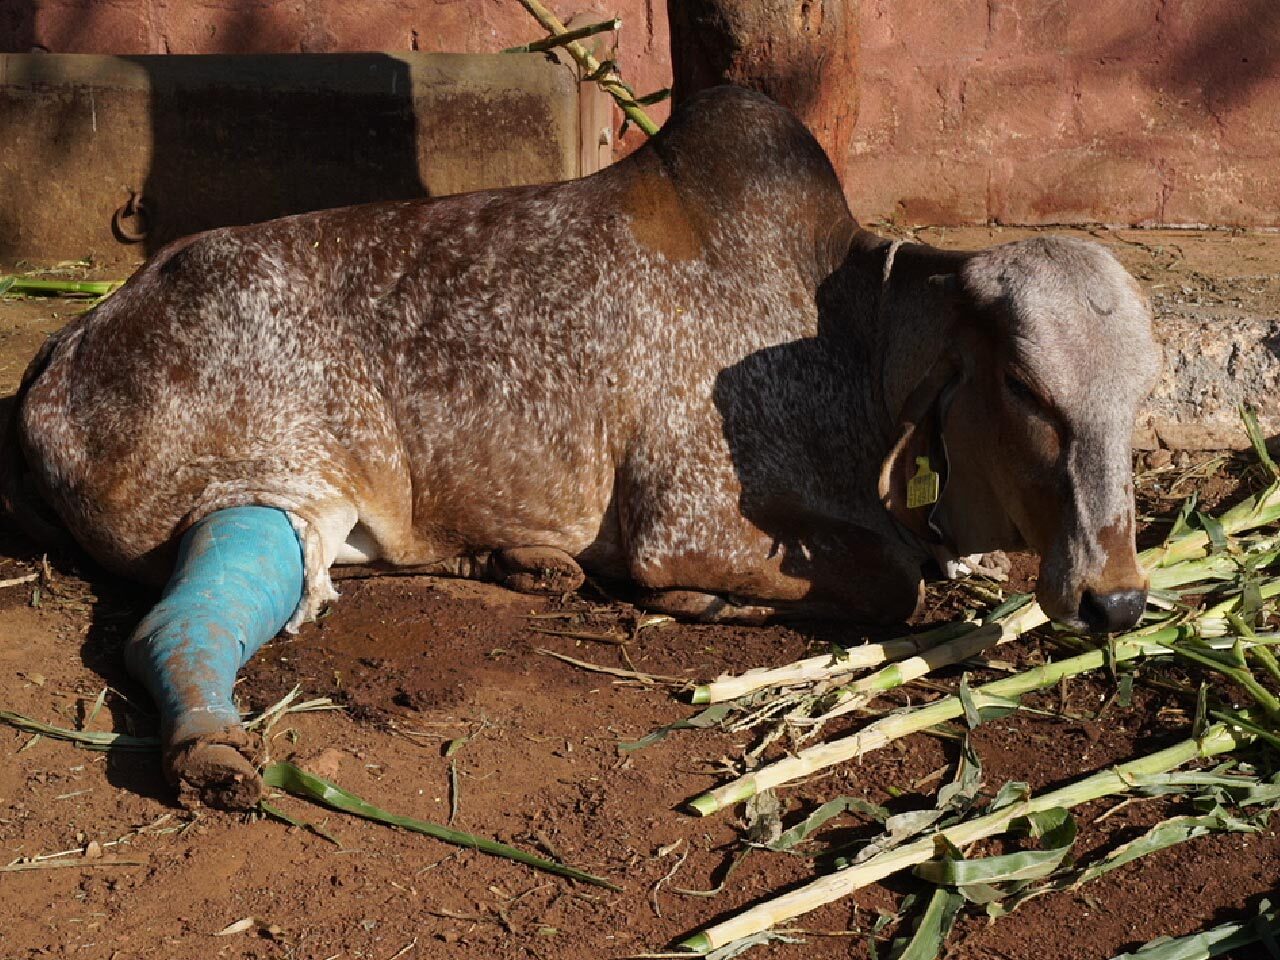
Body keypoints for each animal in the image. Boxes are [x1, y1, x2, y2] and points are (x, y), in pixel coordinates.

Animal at [2, 87, 1161, 807]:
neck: (845, 325)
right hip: (284, 480)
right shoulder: (685, 516)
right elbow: (889, 580)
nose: (1114, 599)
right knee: (189, 619)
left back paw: (526, 561)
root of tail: (64, 350)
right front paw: (706, 604)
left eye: (1142, 395)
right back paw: (215, 747)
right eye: (1024, 387)